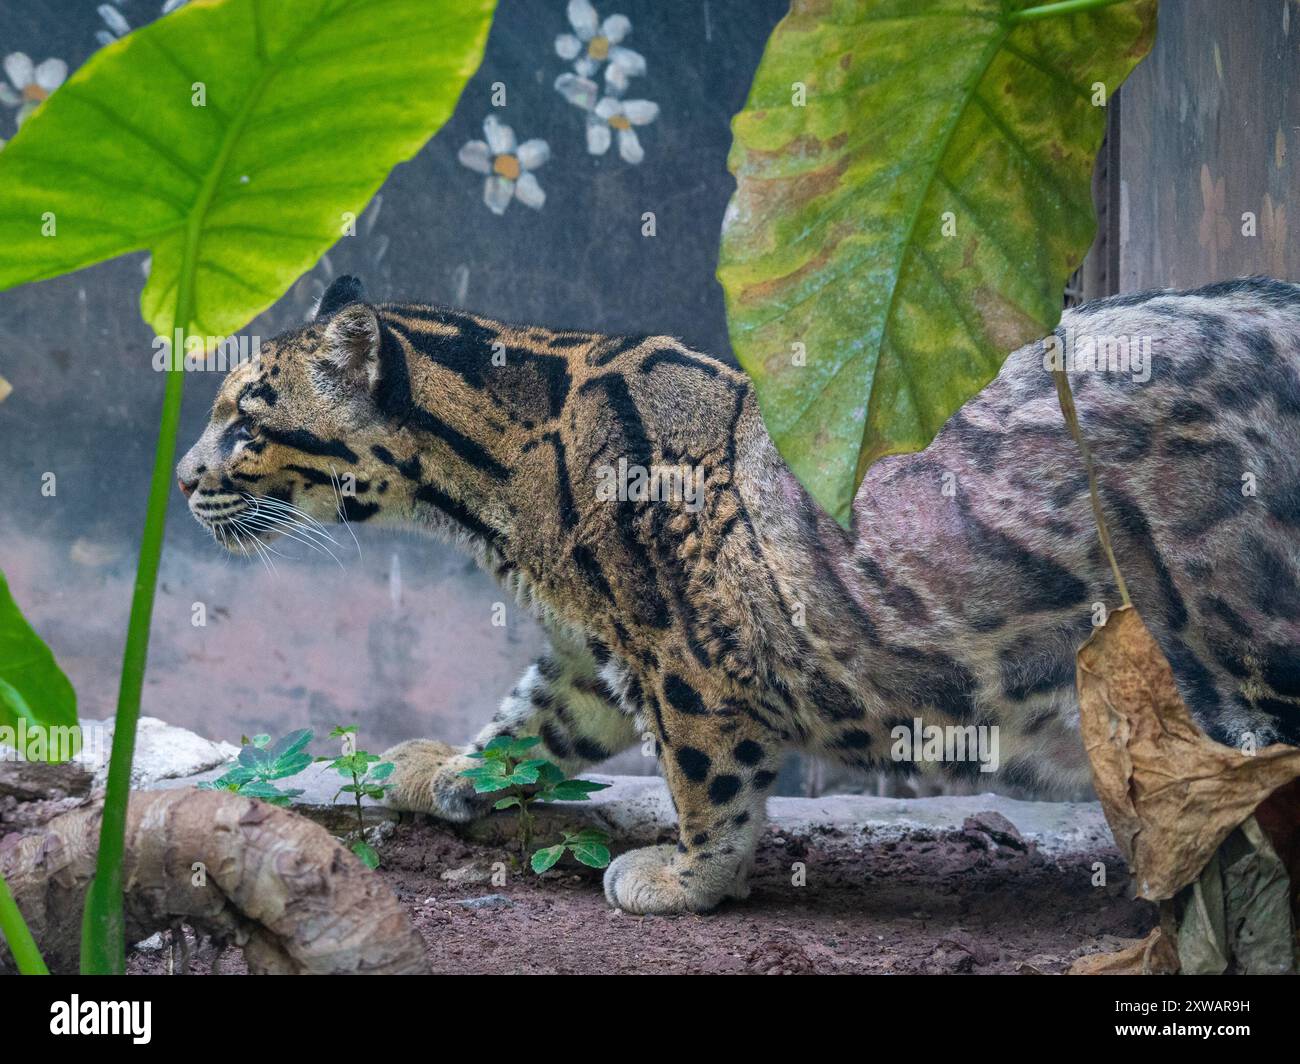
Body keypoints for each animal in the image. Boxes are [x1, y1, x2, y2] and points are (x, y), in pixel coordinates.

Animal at [177, 273, 1300, 915]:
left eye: (244, 420)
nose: (184, 479)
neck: (490, 482)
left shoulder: (684, 651)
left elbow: (703, 780)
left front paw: (688, 879)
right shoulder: (595, 650)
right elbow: (530, 719)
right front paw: (452, 769)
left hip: (1244, 643)